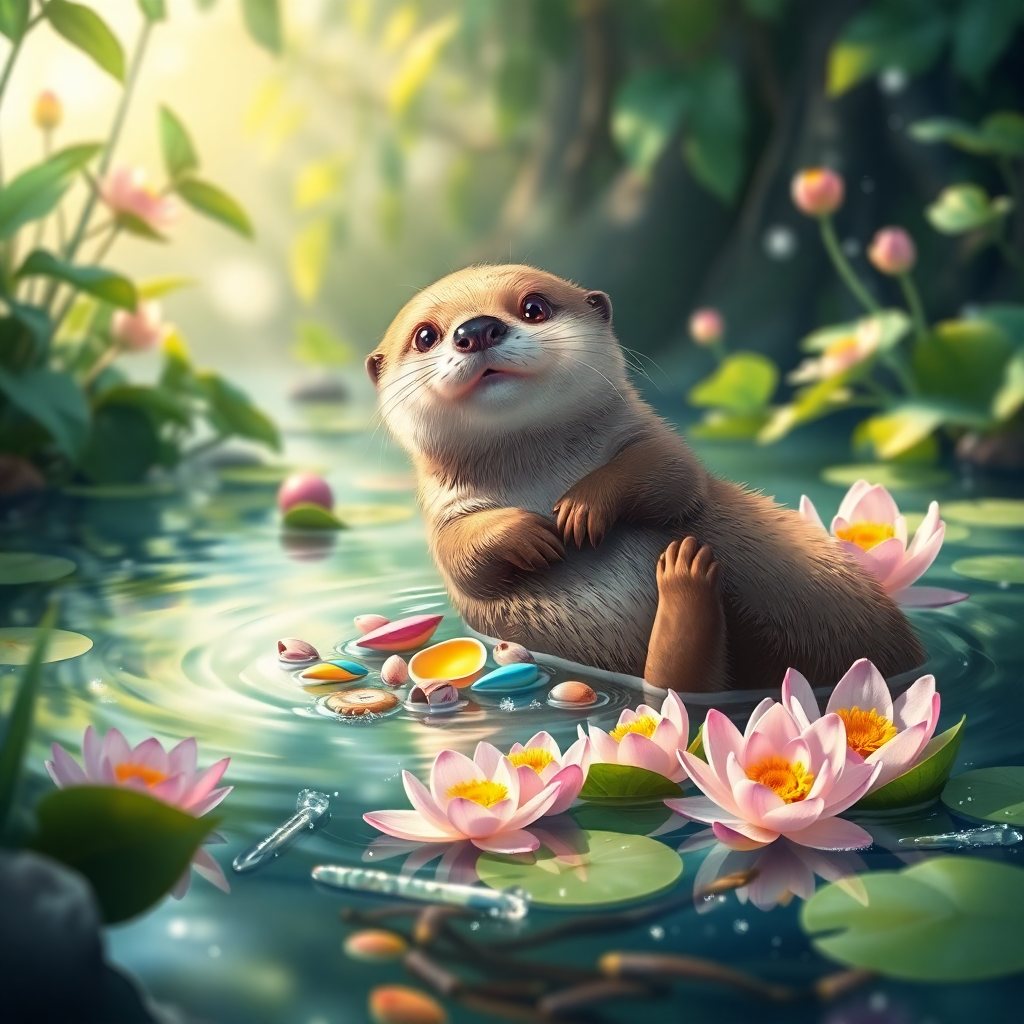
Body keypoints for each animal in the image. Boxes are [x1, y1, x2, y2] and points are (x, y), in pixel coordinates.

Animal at [366, 264, 924, 692]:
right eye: (425, 335)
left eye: (534, 307)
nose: (477, 329)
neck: (537, 478)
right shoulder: (443, 511)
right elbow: (460, 557)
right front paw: (527, 534)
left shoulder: (652, 439)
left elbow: (671, 475)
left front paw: (582, 509)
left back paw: (684, 572)